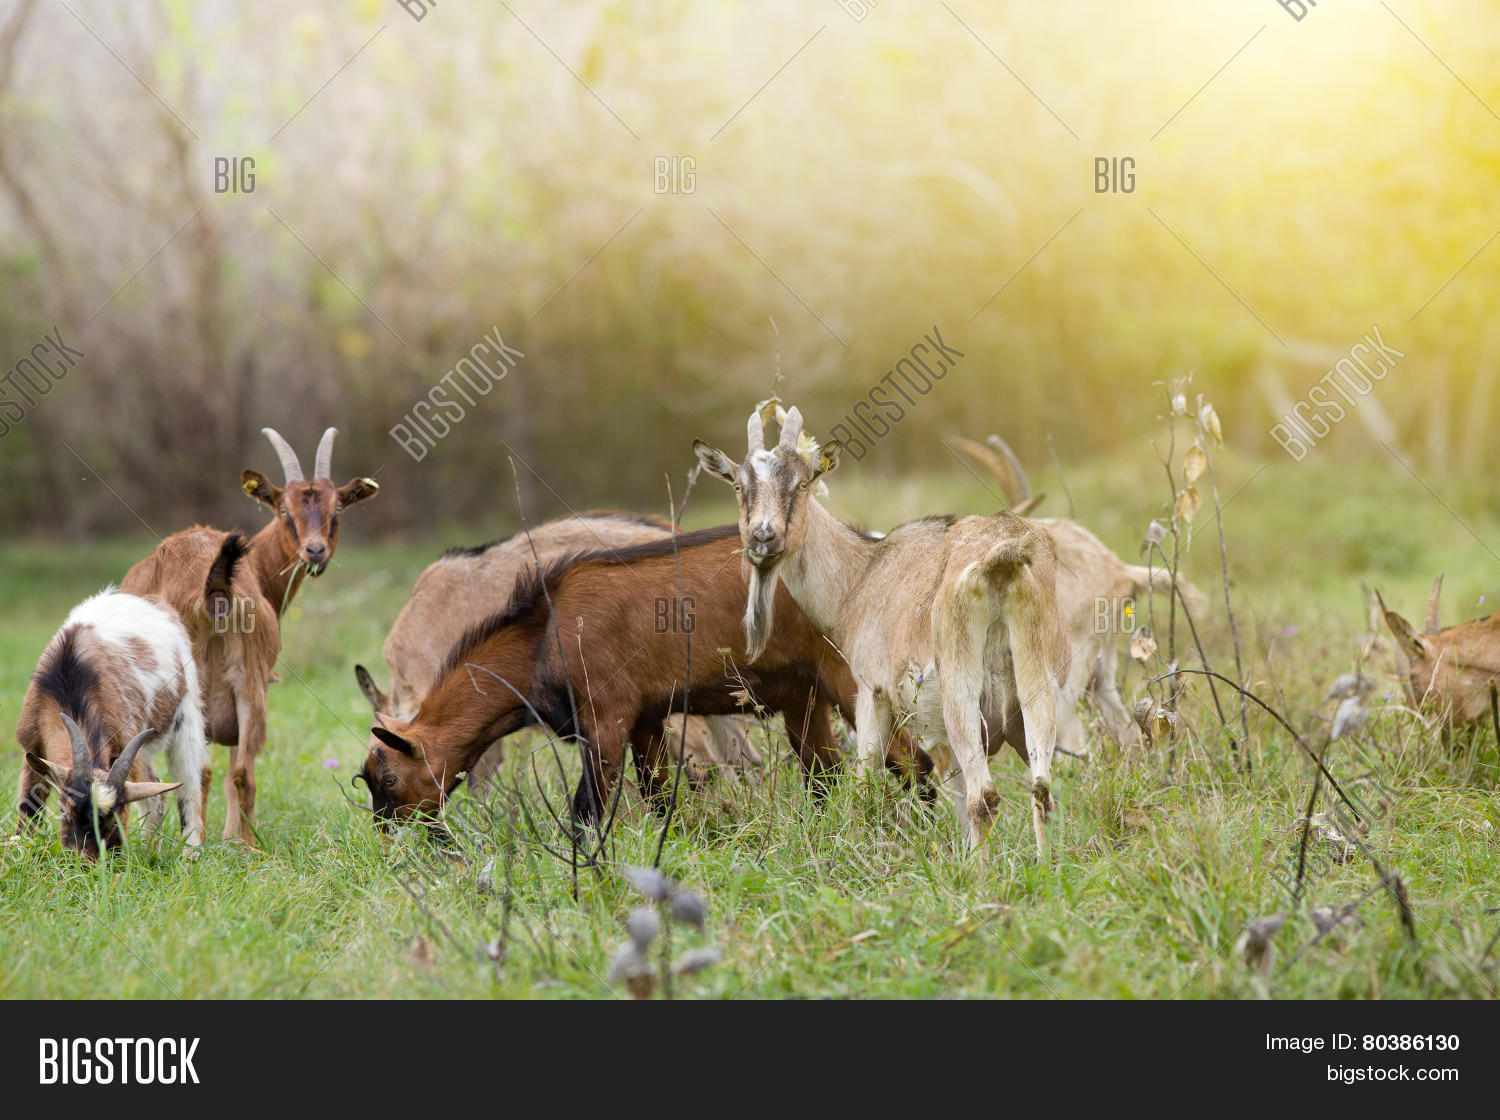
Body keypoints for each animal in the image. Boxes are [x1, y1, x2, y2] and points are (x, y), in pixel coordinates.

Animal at [15, 589, 205, 856]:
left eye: (116, 817)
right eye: (64, 810)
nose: (85, 862)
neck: (69, 683)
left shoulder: (123, 745)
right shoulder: (32, 745)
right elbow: (30, 808)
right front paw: (19, 850)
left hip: (186, 717)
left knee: (188, 787)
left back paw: (189, 854)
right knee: (156, 792)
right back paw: (150, 852)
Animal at [121, 427, 378, 843]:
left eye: (337, 508)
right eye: (285, 509)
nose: (316, 551)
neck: (255, 566)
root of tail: (213, 583)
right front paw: (231, 836)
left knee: (211, 771)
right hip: (245, 680)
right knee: (232, 771)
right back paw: (242, 844)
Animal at [695, 406, 1066, 854]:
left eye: (801, 483)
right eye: (738, 485)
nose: (763, 537)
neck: (863, 571)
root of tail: (1002, 560)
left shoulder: (870, 691)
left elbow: (863, 781)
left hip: (961, 692)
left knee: (985, 797)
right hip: (1035, 682)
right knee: (1040, 790)